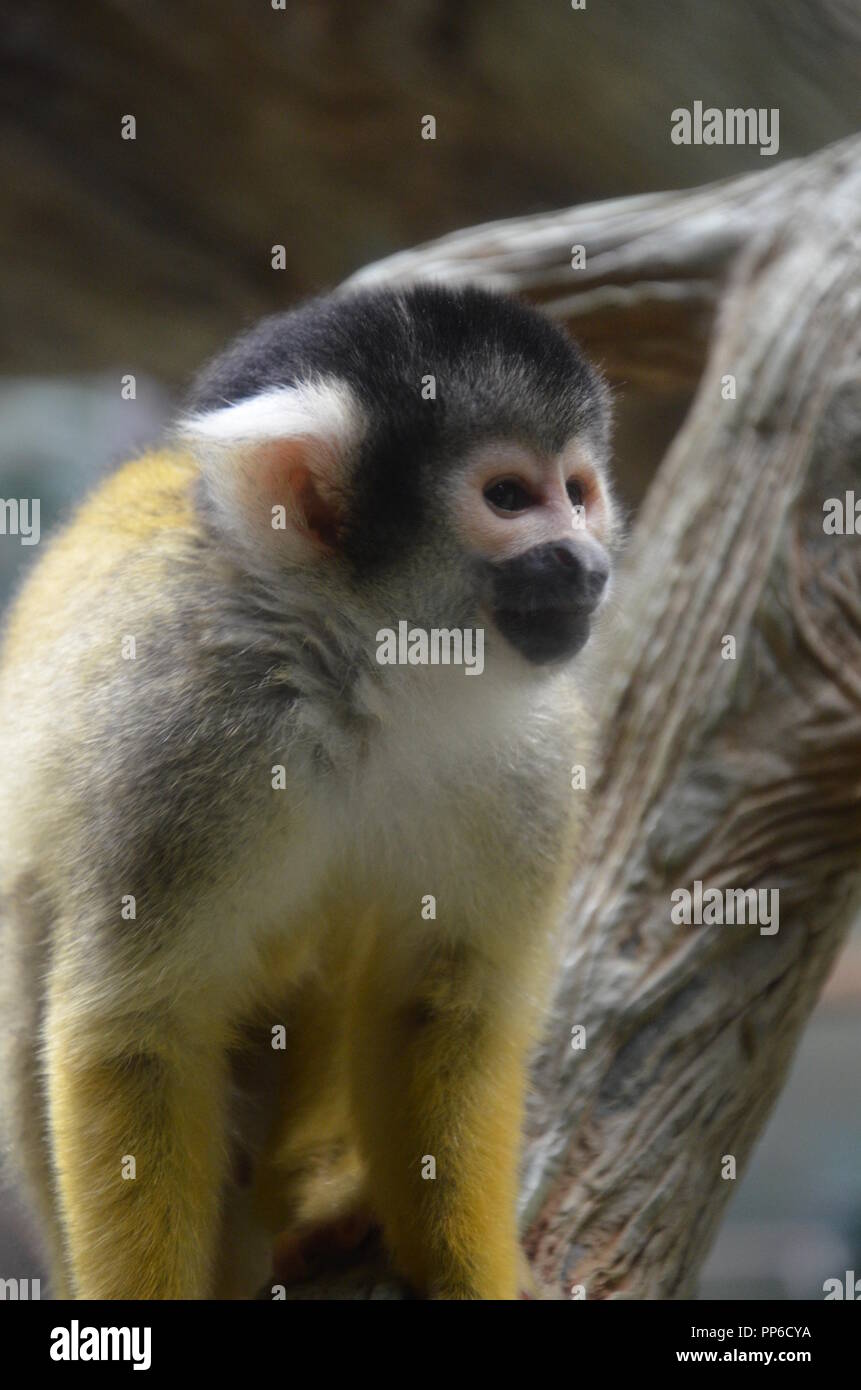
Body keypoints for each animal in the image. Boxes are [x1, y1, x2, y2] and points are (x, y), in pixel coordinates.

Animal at [0, 283, 618, 1300]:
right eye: (508, 498)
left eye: (578, 492)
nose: (587, 561)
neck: (371, 679)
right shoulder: (189, 731)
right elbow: (136, 1031)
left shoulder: (534, 754)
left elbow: (442, 1004)